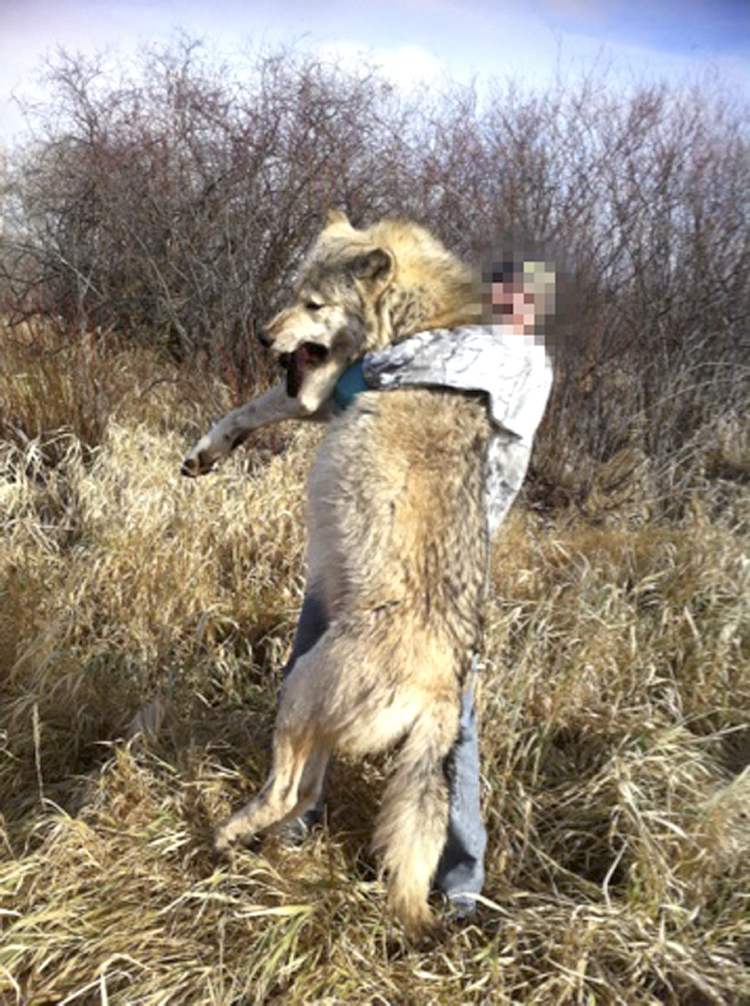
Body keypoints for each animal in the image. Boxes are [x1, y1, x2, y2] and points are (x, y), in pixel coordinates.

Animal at [183, 211, 496, 936]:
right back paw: (269, 843)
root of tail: (442, 693)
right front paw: (207, 453)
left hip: (297, 691)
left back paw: (227, 834)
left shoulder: (328, 392)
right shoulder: (315, 398)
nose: (262, 334)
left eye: (314, 305)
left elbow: (279, 399)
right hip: (315, 708)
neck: (418, 323)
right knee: (306, 796)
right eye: (291, 293)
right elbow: (249, 409)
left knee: (285, 791)